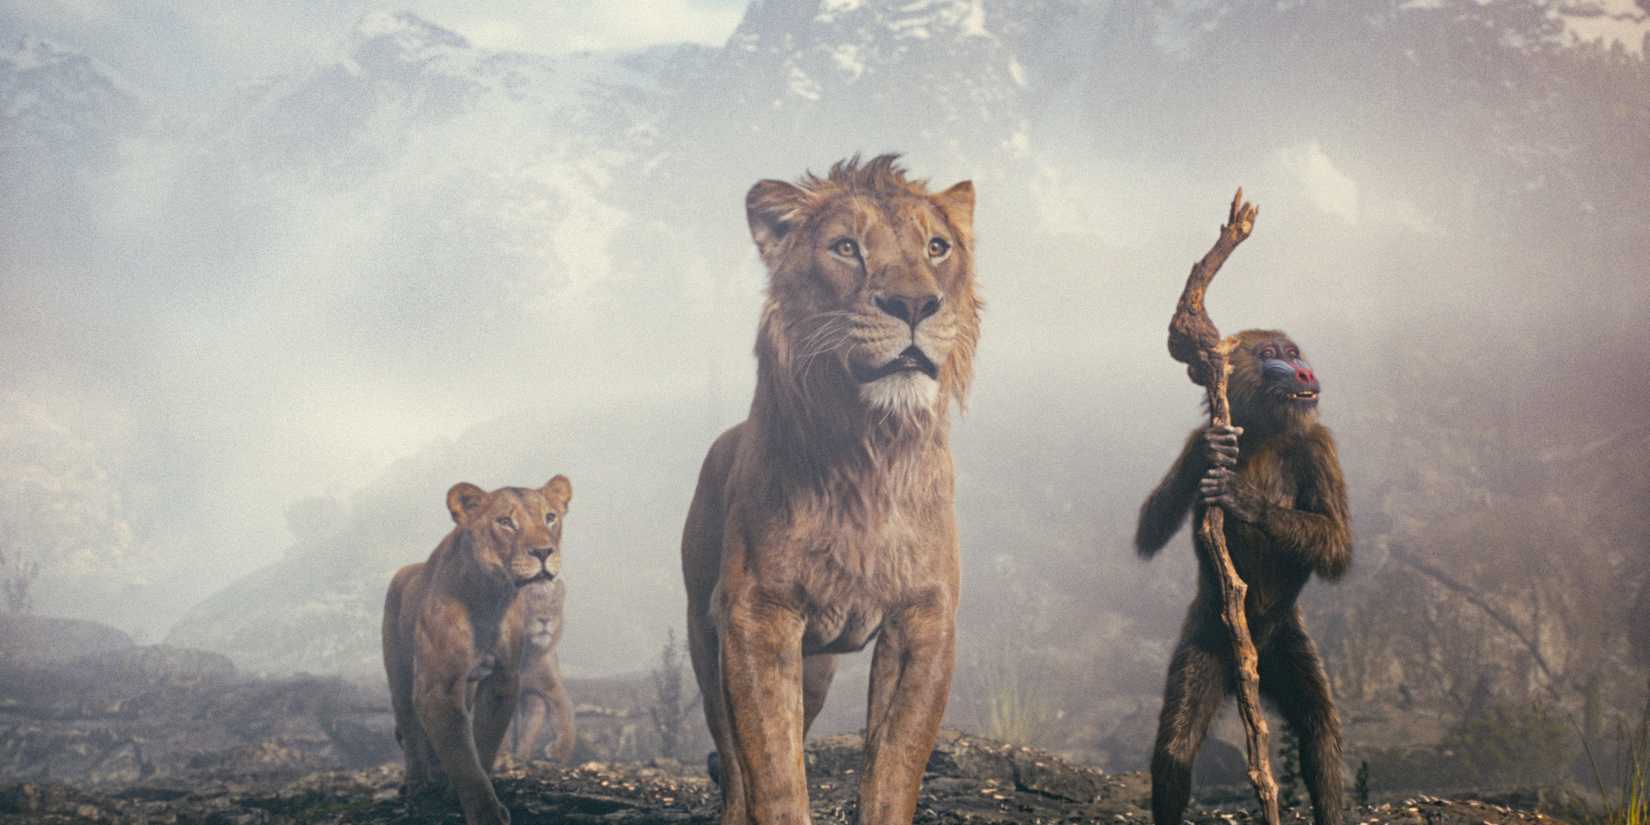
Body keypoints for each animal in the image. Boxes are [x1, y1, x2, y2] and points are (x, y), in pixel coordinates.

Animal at [504, 577, 576, 763]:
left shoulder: (549, 688)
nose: (544, 619)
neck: (527, 655)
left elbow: (564, 716)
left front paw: (560, 751)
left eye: (553, 604)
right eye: (527, 603)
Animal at [680, 154, 980, 825]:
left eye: (938, 247)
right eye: (846, 248)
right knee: (732, 758)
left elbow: (894, 765)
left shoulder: (924, 620)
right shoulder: (756, 617)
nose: (914, 302)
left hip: (814, 667)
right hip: (706, 637)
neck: (869, 450)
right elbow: (773, 771)